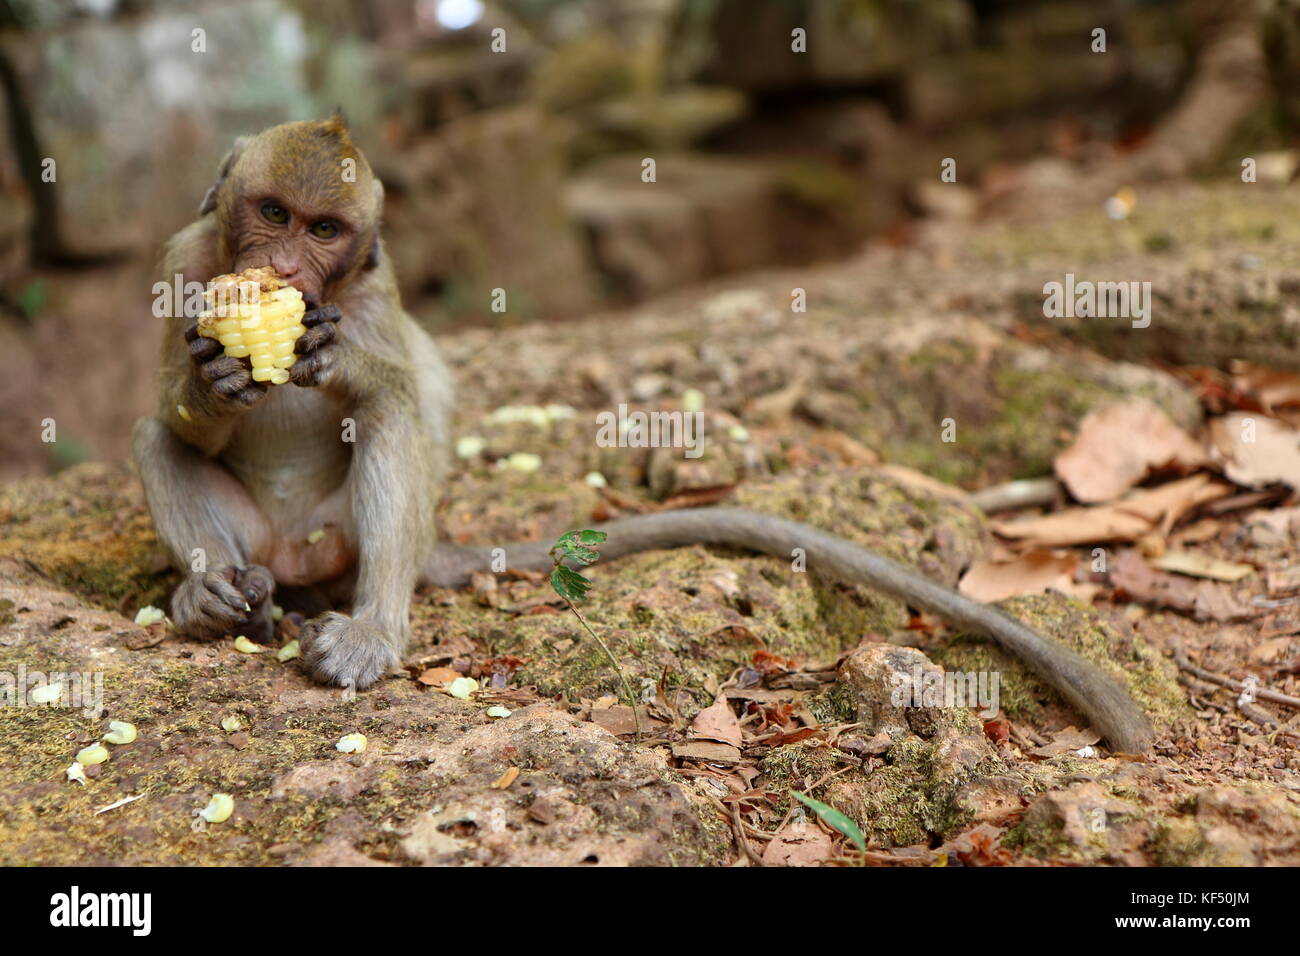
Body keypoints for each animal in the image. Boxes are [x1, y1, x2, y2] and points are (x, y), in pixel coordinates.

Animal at [133, 115, 1154, 755]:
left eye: (324, 229)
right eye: (272, 213)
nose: (283, 265)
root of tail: (304, 563)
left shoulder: (376, 292)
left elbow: (401, 398)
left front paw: (333, 356)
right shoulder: (183, 258)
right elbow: (176, 406)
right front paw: (214, 378)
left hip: (345, 537)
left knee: (387, 429)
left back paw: (372, 629)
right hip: (264, 546)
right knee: (156, 441)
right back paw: (216, 598)